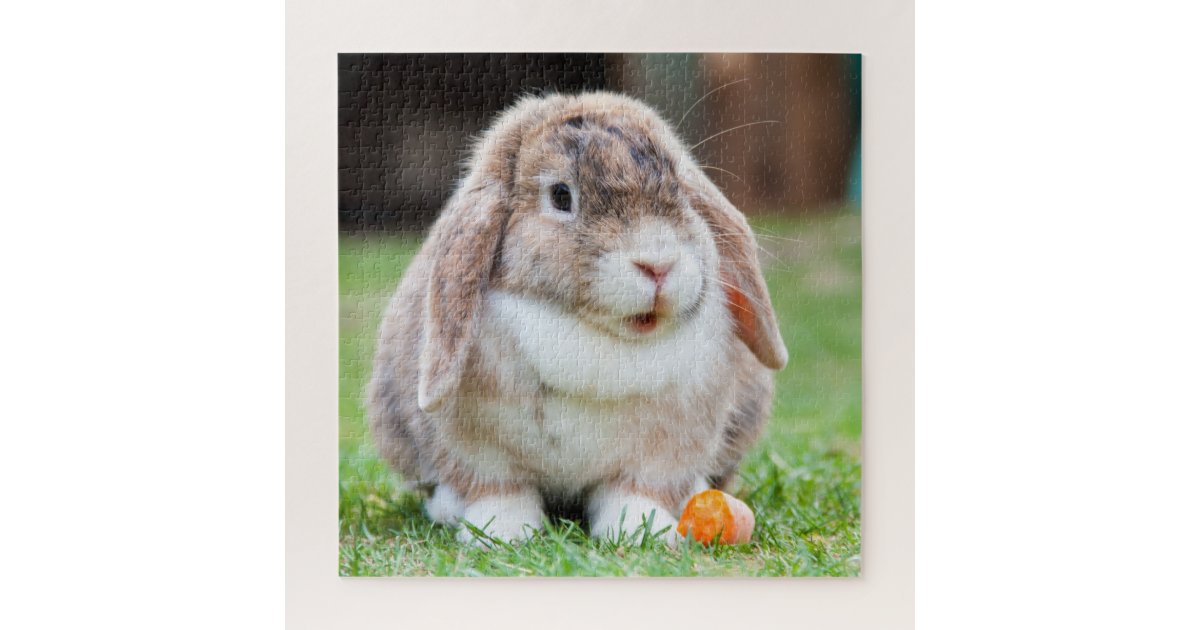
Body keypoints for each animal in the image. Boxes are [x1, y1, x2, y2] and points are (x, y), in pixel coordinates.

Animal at [368, 91, 788, 546]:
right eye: (560, 196)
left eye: (679, 187)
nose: (658, 264)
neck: (597, 336)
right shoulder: (478, 451)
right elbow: (500, 492)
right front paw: (501, 533)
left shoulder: (662, 452)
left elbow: (634, 492)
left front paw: (641, 532)